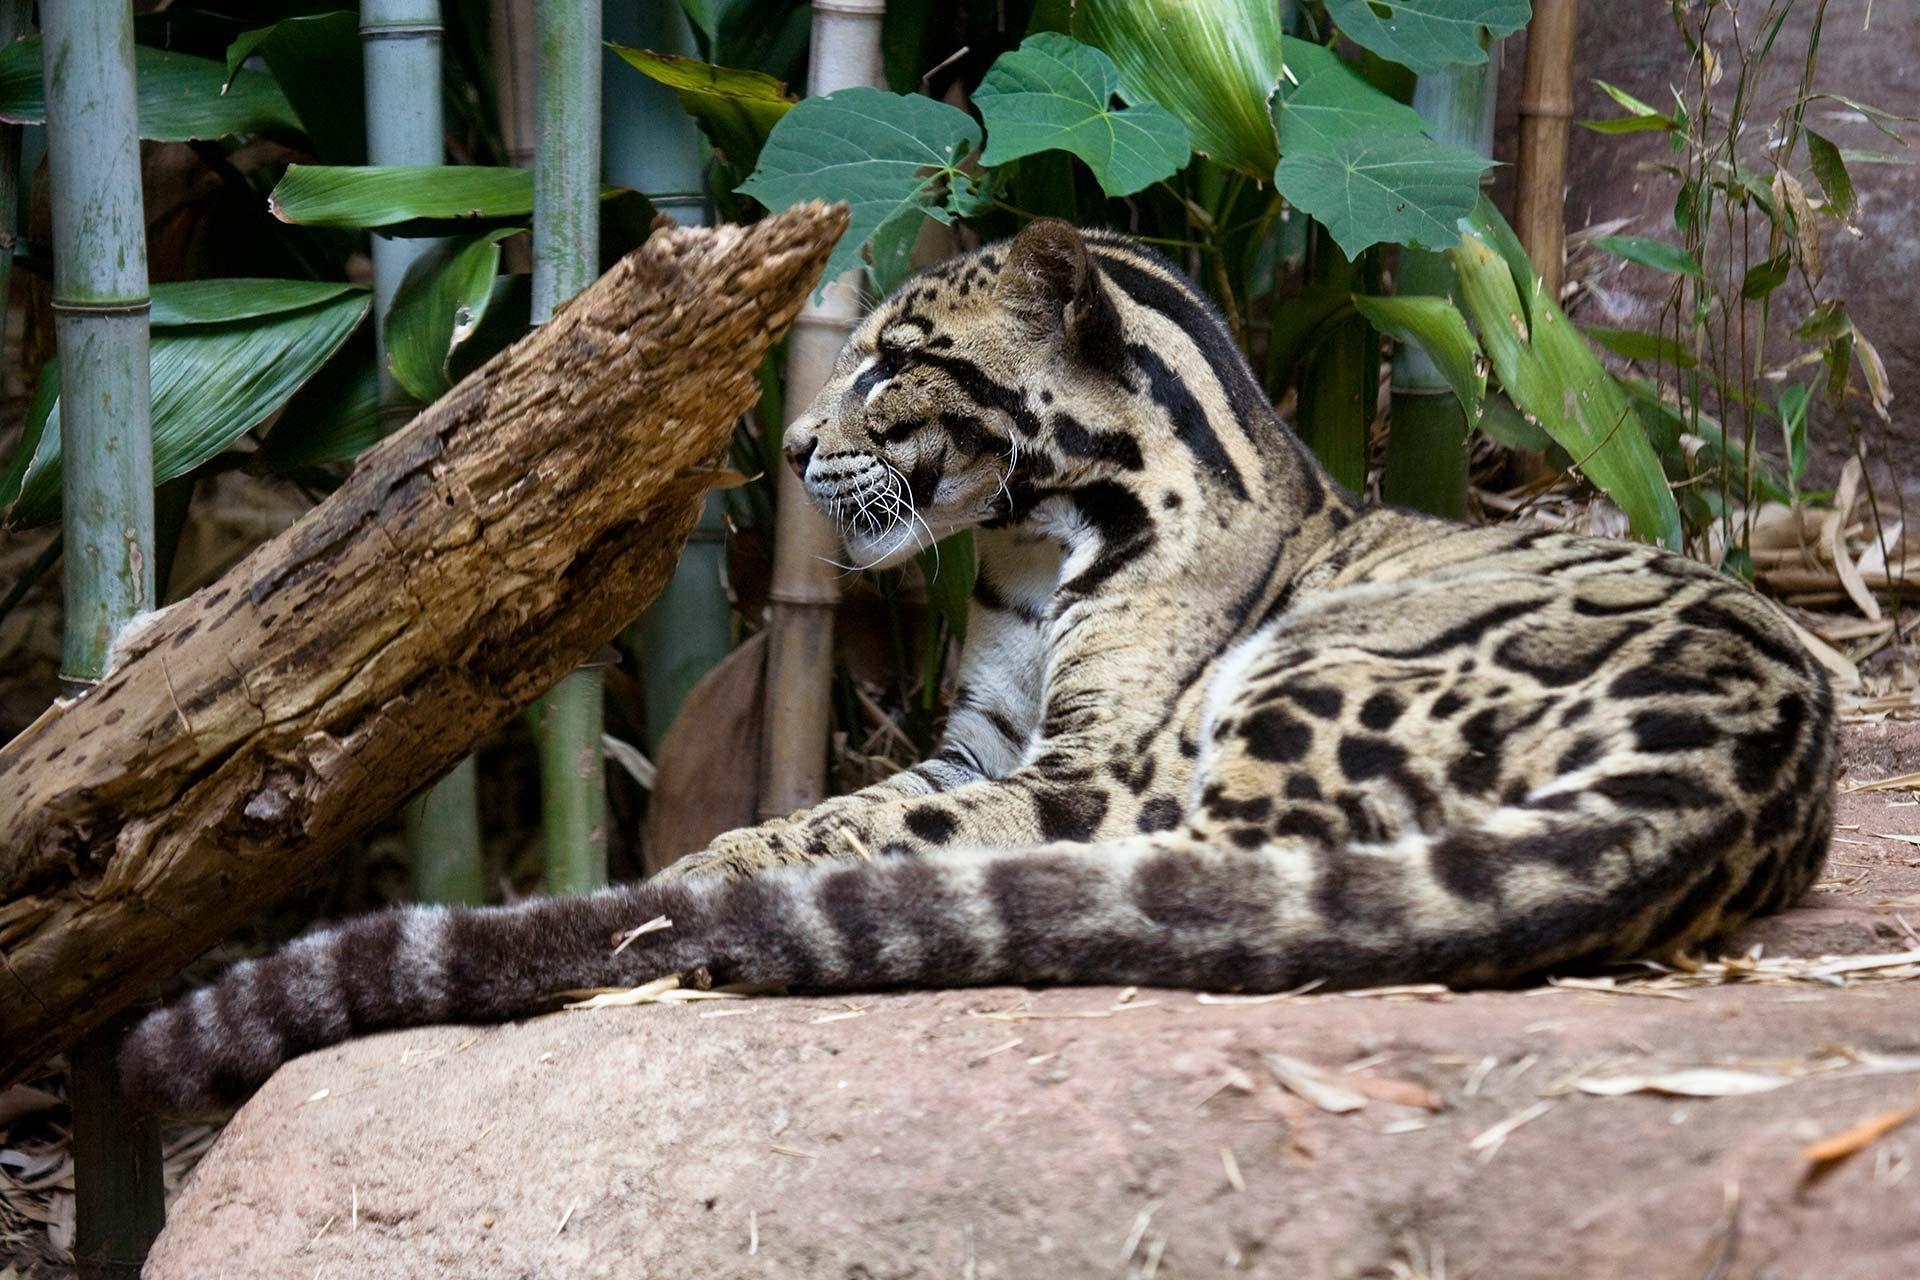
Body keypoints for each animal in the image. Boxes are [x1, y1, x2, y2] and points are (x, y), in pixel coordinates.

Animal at [122, 219, 1836, 1115]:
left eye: (896, 362)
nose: (790, 450)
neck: (1032, 550)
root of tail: (1758, 760)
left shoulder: (1087, 763)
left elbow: (870, 823)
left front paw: (730, 863)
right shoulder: (987, 736)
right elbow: (886, 792)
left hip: (1299, 693)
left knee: (1217, 866)